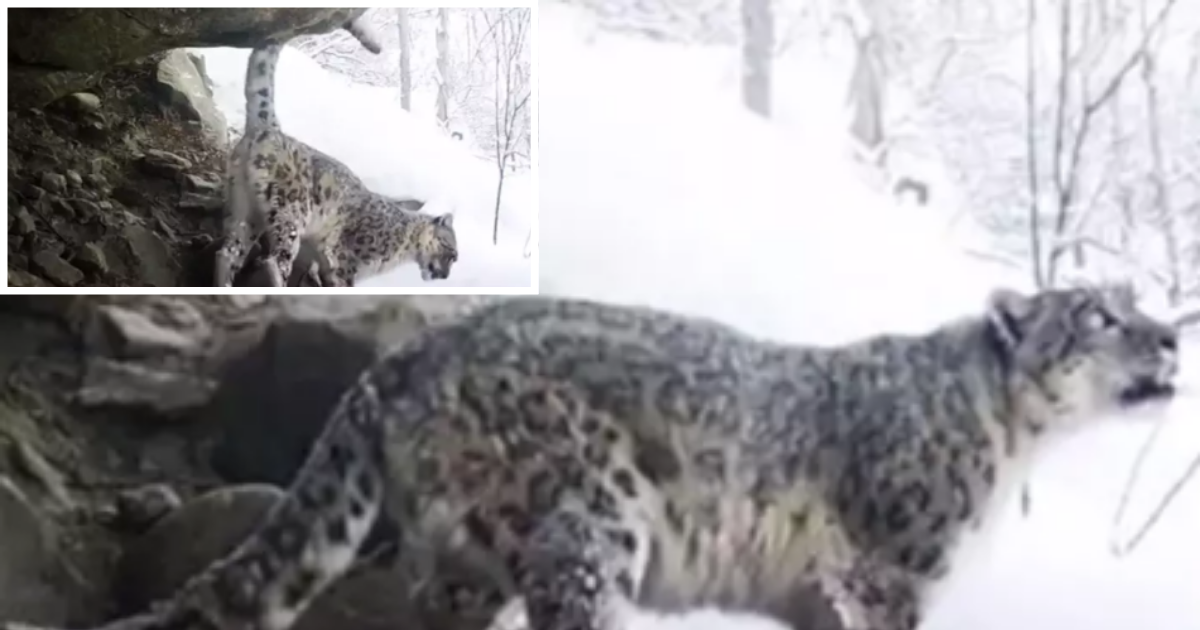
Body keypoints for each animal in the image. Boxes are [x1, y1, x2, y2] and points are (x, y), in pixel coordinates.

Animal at [0, 286, 1179, 630]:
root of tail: (414, 353)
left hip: (466, 563)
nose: (1172, 337)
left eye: (1141, 305)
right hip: (590, 524)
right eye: (1099, 313)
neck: (1017, 442)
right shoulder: (888, 575)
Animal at [214, 17, 458, 288]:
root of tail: (268, 128)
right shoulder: (346, 263)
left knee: (228, 252)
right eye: (450, 251)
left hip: (244, 208)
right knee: (275, 260)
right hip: (289, 213)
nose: (444, 275)